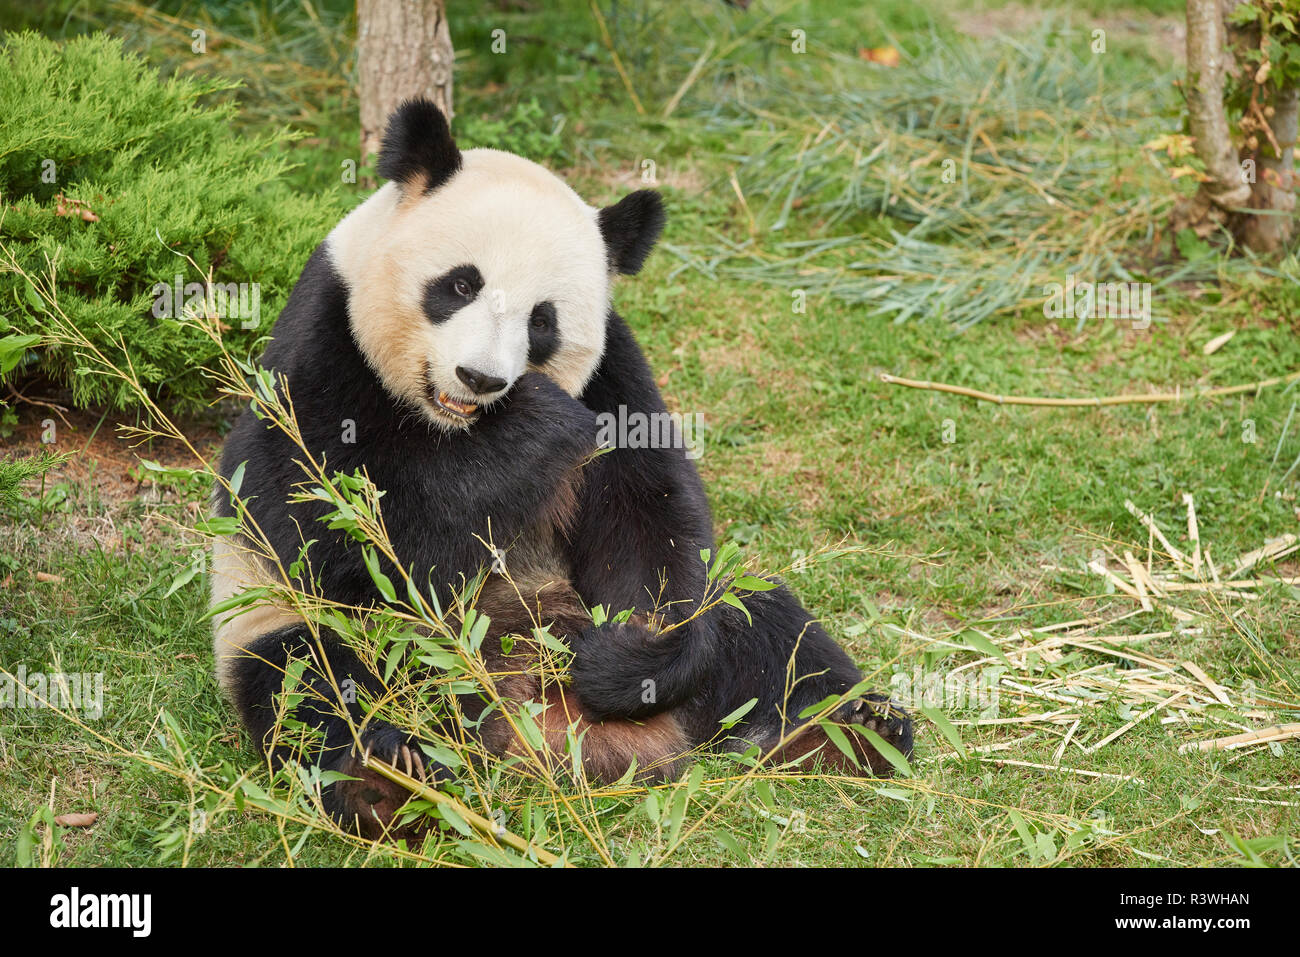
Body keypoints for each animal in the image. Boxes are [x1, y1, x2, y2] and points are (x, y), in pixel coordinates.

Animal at [211, 98, 911, 838]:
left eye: (541, 321)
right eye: (460, 284)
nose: (481, 377)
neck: (456, 425)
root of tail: (535, 727)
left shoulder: (614, 375)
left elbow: (649, 513)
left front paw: (625, 660)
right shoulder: (320, 356)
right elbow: (333, 533)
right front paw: (532, 427)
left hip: (718, 622)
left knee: (763, 631)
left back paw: (849, 730)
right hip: (297, 631)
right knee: (312, 677)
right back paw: (385, 779)